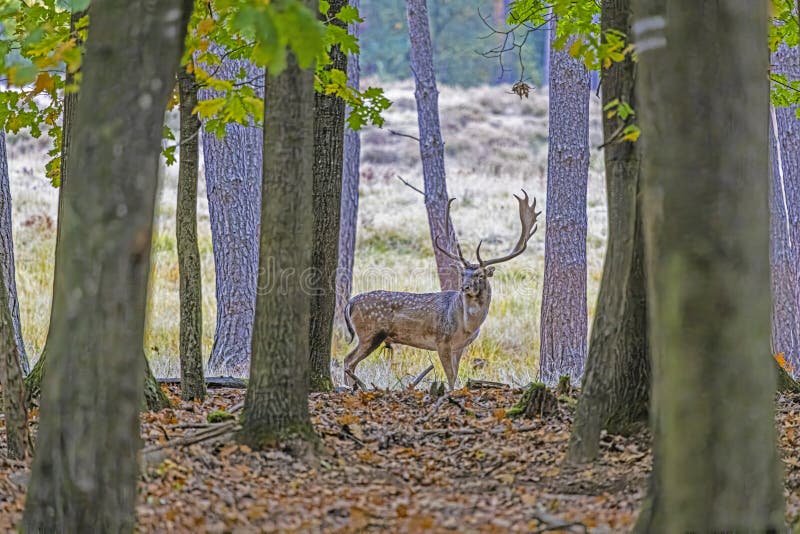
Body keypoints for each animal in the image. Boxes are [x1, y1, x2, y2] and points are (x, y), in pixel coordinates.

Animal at [343, 190, 541, 390]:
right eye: (463, 273)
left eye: (480, 275)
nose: (464, 287)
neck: (467, 326)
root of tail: (350, 303)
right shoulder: (442, 340)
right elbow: (450, 376)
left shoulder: (460, 346)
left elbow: (455, 375)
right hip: (370, 332)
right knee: (349, 360)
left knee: (348, 360)